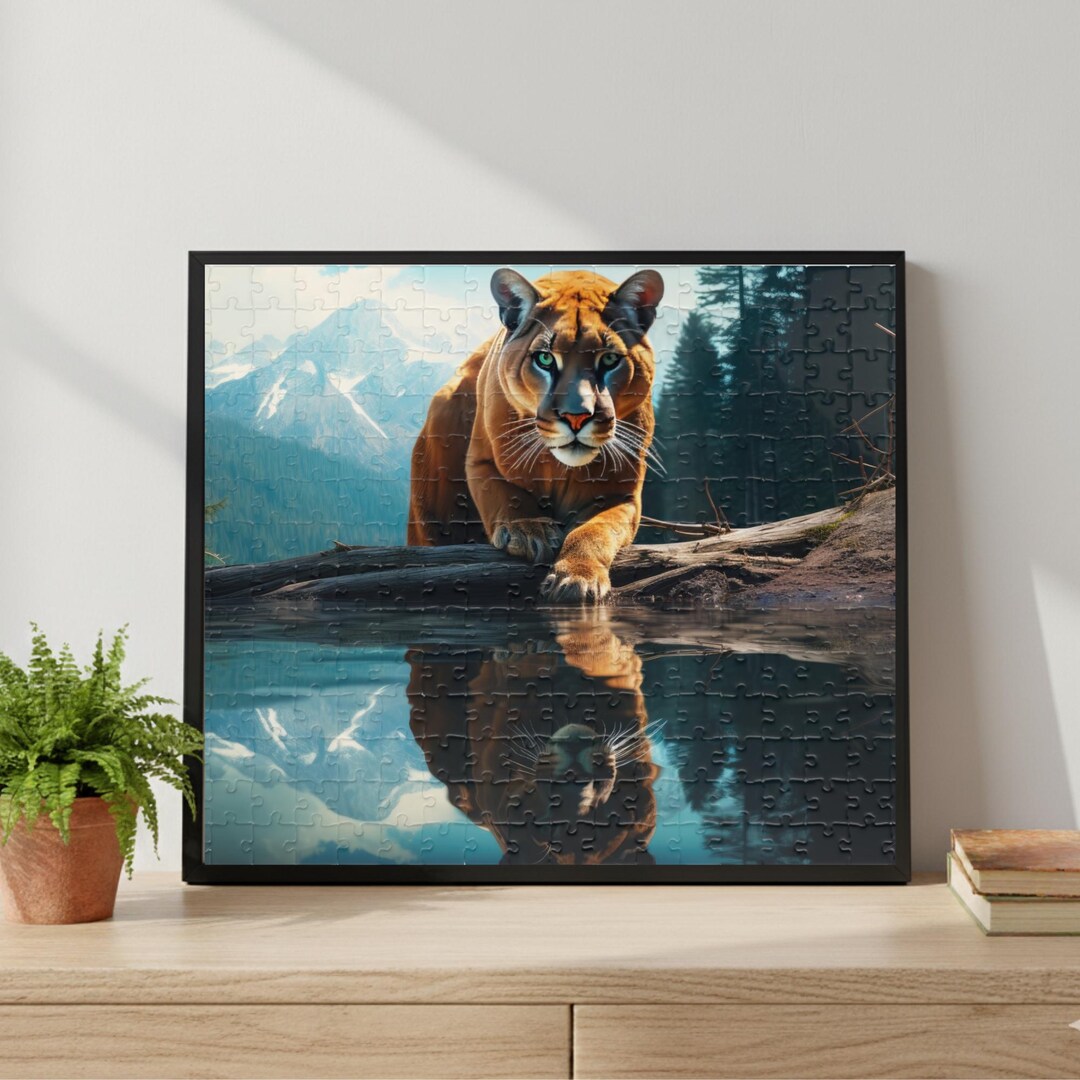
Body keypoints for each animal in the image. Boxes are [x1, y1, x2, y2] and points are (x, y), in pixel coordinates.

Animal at [407, 267, 665, 603]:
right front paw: (530, 532)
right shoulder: (480, 462)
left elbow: (594, 531)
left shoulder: (622, 494)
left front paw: (577, 577)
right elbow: (506, 497)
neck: (558, 467)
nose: (576, 416)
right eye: (544, 359)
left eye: (609, 360)